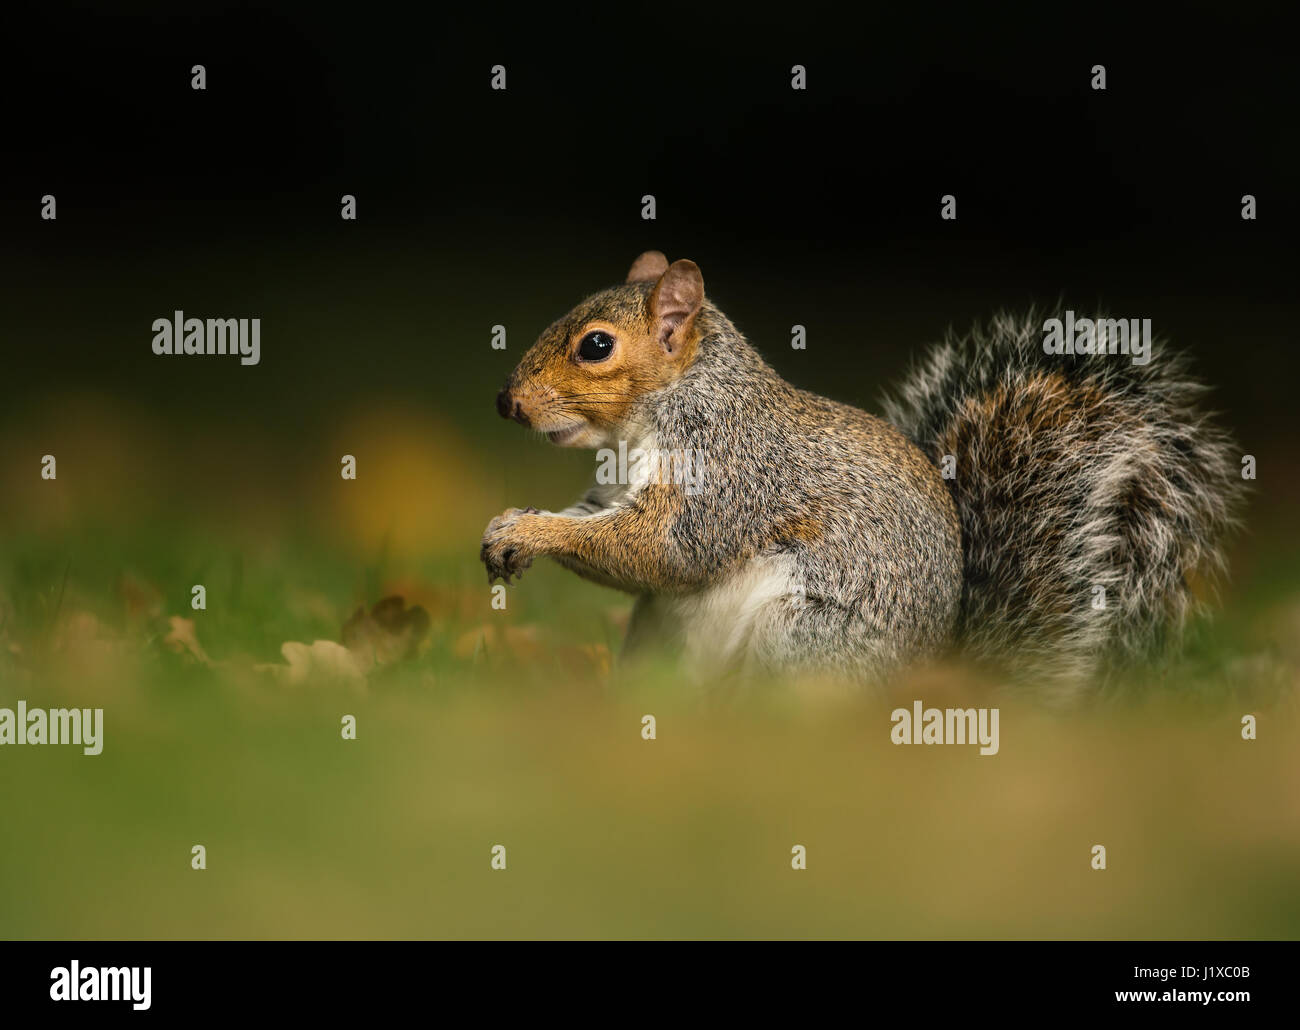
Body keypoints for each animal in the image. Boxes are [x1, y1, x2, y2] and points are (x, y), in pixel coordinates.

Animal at [481, 251, 1241, 697]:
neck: (664, 411)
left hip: (803, 640)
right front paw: (512, 525)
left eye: (596, 346)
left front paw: (533, 533)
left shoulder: (727, 475)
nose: (506, 402)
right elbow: (597, 525)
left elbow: (664, 550)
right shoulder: (613, 489)